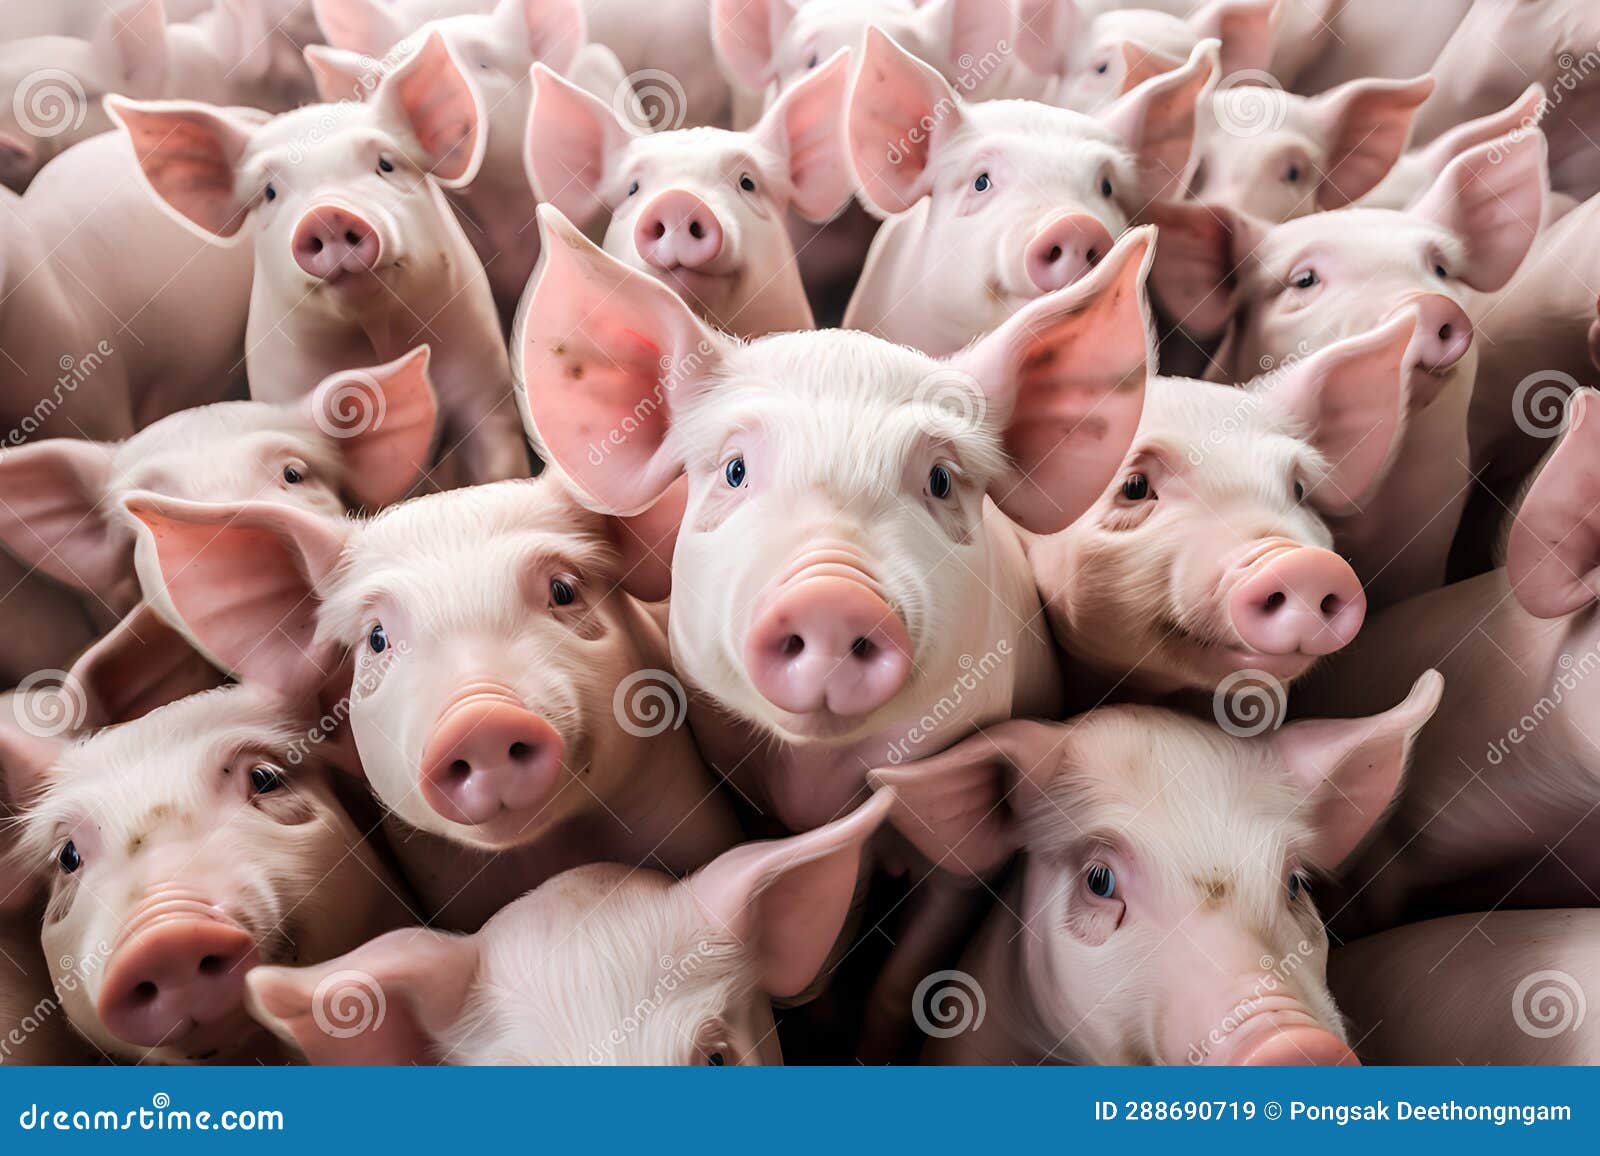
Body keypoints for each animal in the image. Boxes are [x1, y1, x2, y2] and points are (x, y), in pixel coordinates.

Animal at [109, 31, 528, 486]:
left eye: (386, 164)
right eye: (269, 193)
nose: (327, 214)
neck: (378, 333)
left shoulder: (483, 381)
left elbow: (498, 464)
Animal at [517, 207, 1153, 1052]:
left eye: (941, 480)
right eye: (735, 471)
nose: (831, 593)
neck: (817, 775)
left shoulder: (957, 847)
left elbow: (901, 978)